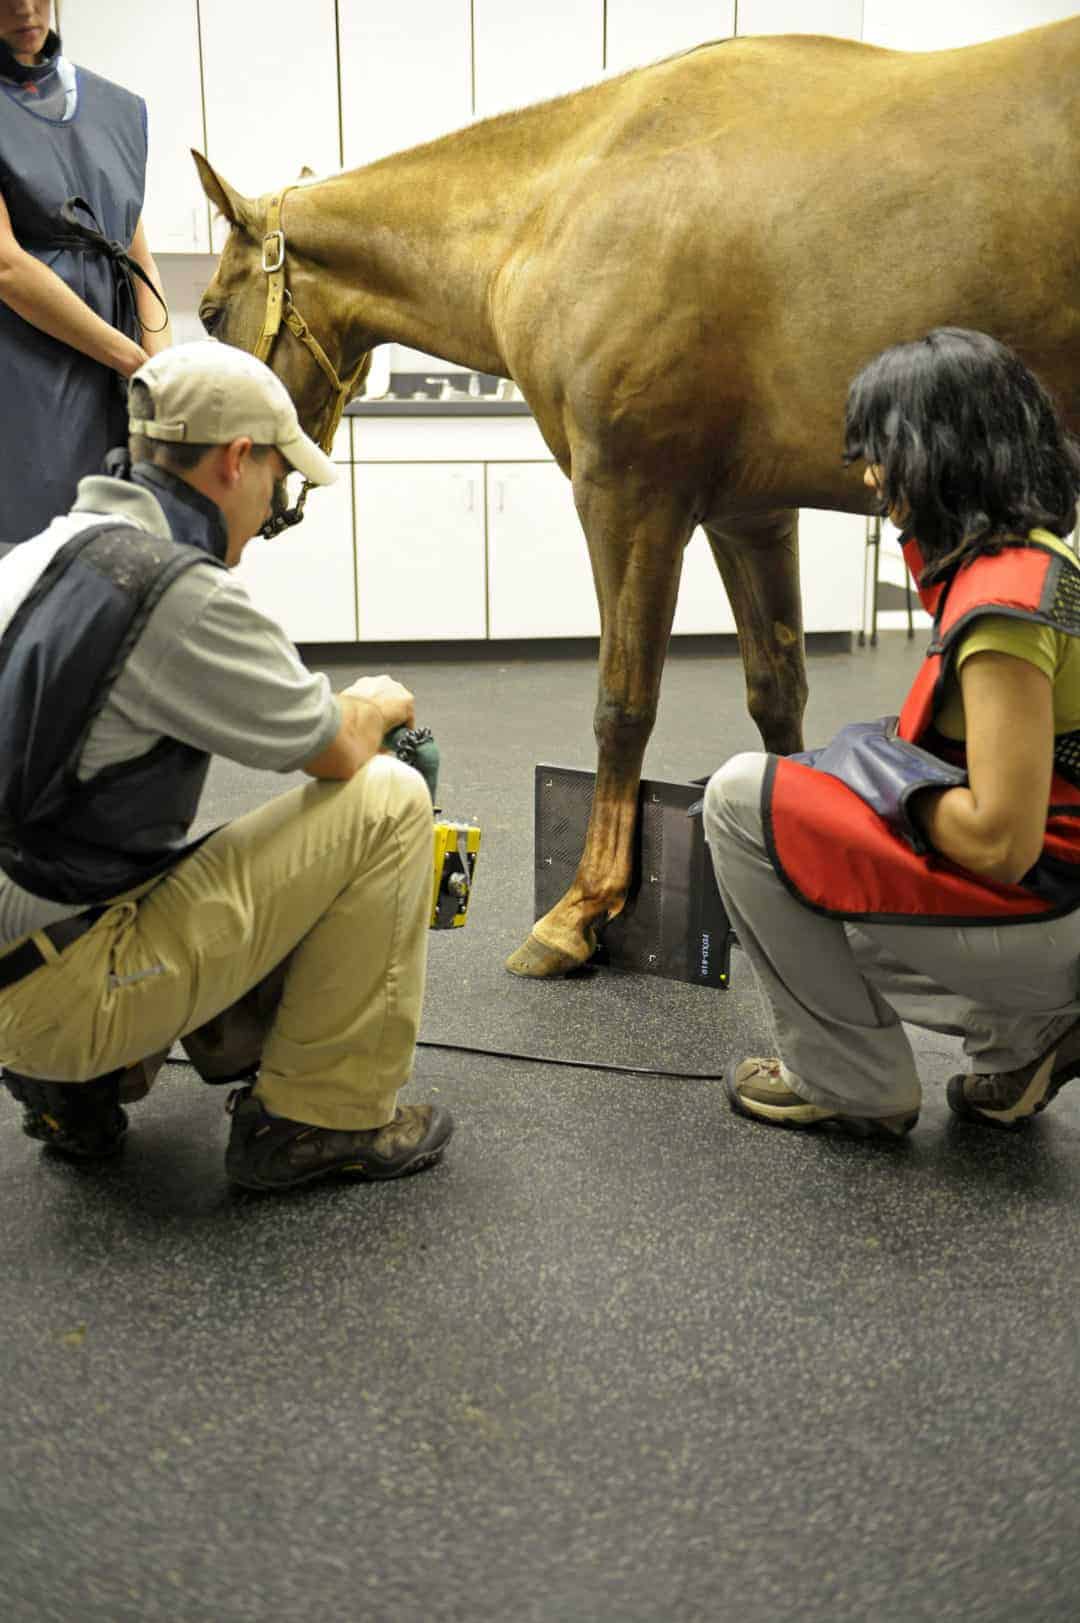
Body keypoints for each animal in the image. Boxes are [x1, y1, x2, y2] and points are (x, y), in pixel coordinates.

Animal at [192, 18, 1080, 977]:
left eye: (206, 316)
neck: (561, 206)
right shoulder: (747, 515)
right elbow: (778, 688)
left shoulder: (631, 500)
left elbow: (623, 702)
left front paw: (582, 909)